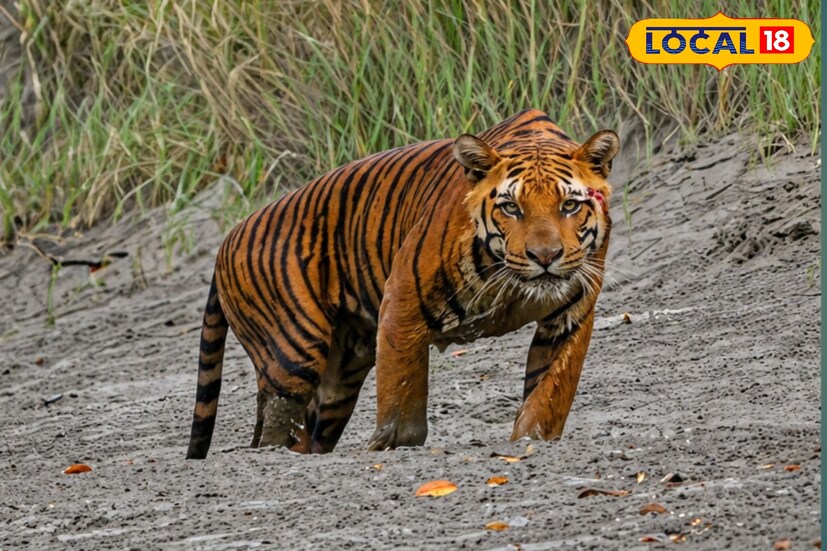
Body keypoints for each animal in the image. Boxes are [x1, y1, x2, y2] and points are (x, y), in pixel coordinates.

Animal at [186, 109, 619, 458]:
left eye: (570, 205)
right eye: (511, 207)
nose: (545, 257)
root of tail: (226, 237)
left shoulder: (570, 315)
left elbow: (548, 396)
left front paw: (531, 440)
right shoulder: (403, 299)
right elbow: (402, 394)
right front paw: (388, 446)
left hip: (339, 376)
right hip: (294, 353)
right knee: (272, 433)